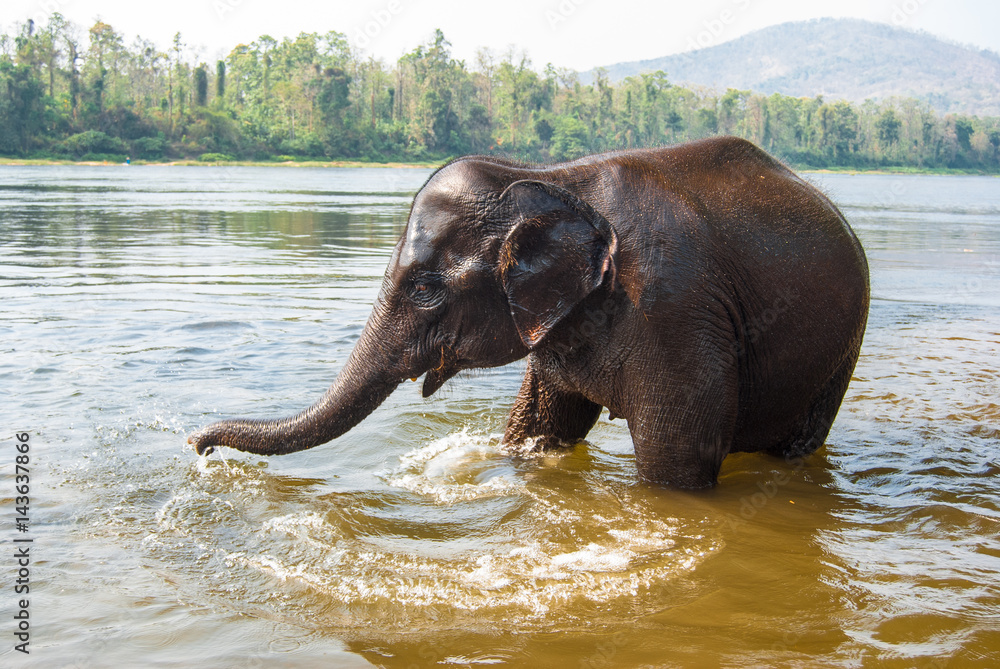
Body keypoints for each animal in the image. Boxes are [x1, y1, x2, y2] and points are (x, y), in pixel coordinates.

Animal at [189, 136, 869, 488]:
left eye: (426, 289)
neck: (551, 178)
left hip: (841, 347)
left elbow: (677, 466)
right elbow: (539, 430)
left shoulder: (676, 316)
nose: (198, 445)